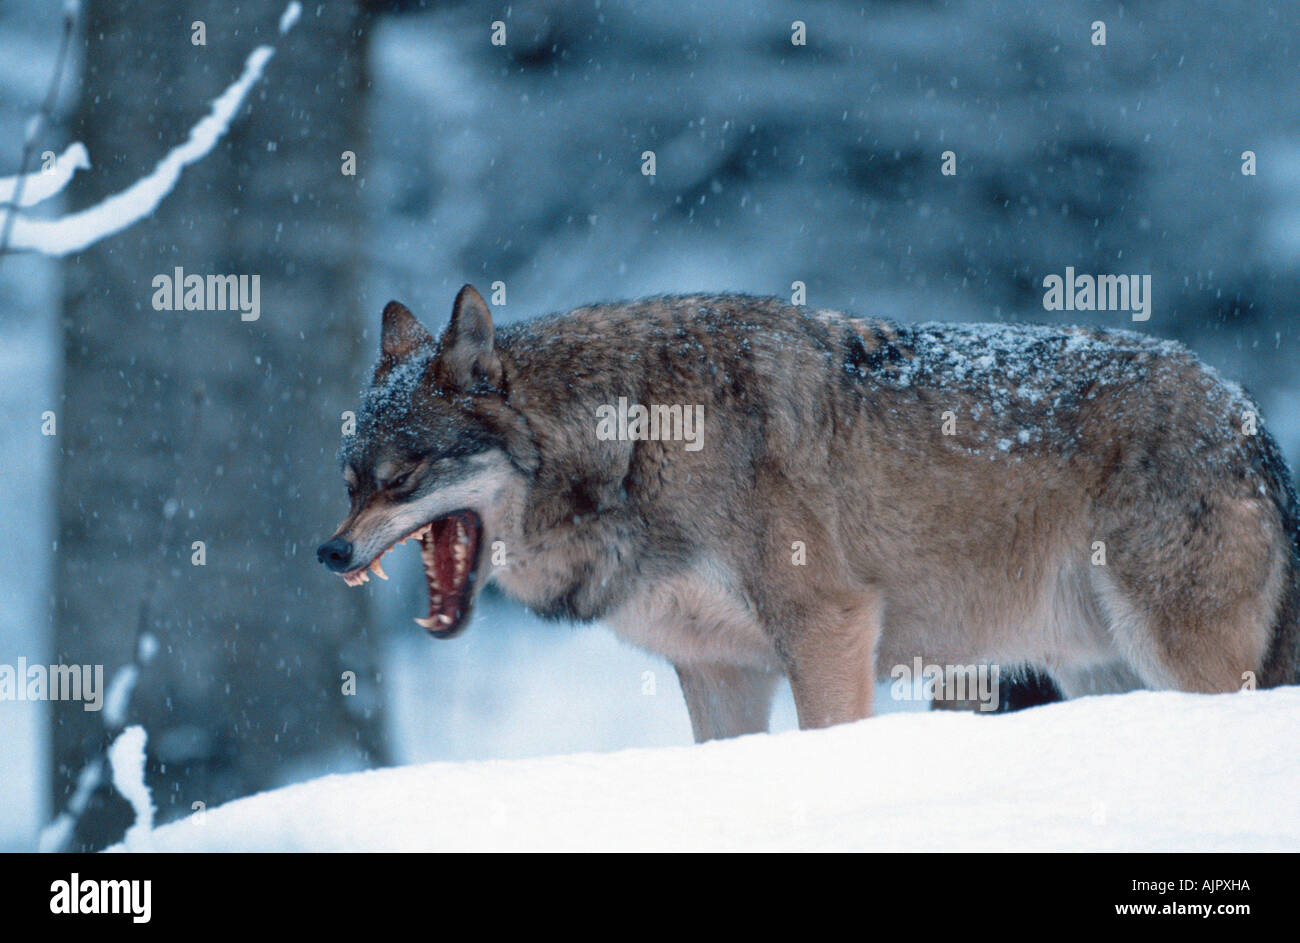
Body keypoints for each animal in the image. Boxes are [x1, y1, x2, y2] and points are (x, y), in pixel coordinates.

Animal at [318, 284, 1300, 740]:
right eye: (350, 480)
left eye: (403, 476)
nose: (330, 553)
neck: (632, 443)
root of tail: (1249, 413)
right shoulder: (715, 670)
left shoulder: (827, 627)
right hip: (1102, 672)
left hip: (1179, 658)